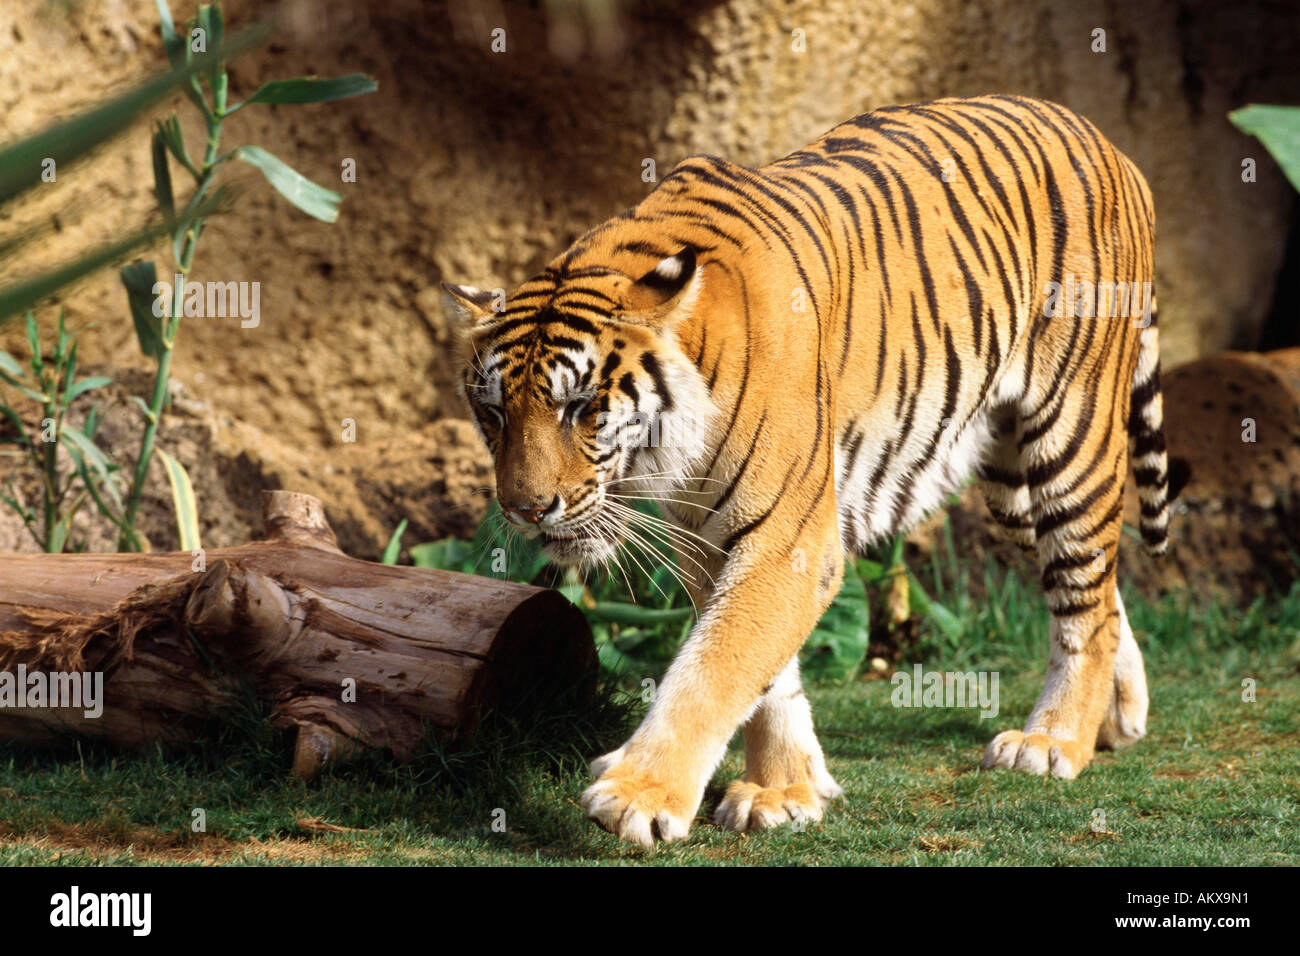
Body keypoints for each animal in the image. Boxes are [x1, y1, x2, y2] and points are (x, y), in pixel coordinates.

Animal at [442, 94, 1172, 848]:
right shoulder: (711, 539)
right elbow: (764, 673)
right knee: (1100, 586)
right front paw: (785, 789)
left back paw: (1055, 742)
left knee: (1085, 594)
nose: (527, 510)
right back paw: (1118, 717)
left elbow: (717, 664)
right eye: (493, 413)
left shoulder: (787, 539)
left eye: (580, 407)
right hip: (1008, 480)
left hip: (1070, 431)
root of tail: (1103, 138)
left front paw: (639, 794)